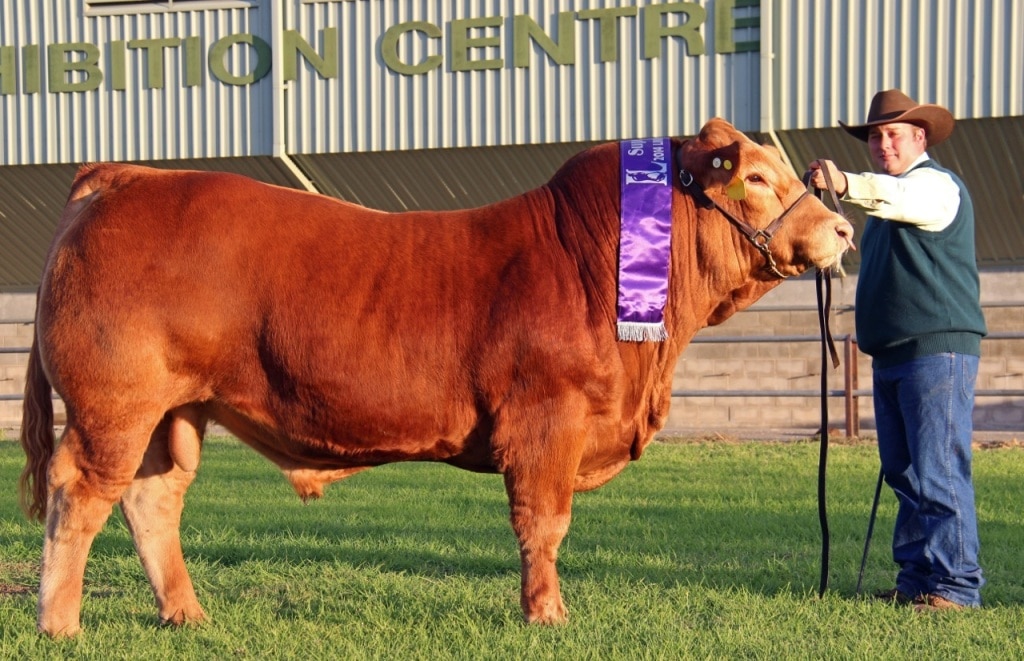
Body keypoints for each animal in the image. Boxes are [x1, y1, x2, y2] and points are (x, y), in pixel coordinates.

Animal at [20, 118, 854, 637]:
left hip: (174, 411)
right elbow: (544, 523)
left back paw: (185, 613)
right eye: (755, 177)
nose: (843, 227)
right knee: (79, 494)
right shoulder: (547, 421)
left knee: (151, 497)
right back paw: (60, 622)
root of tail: (126, 176)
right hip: (113, 405)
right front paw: (546, 613)